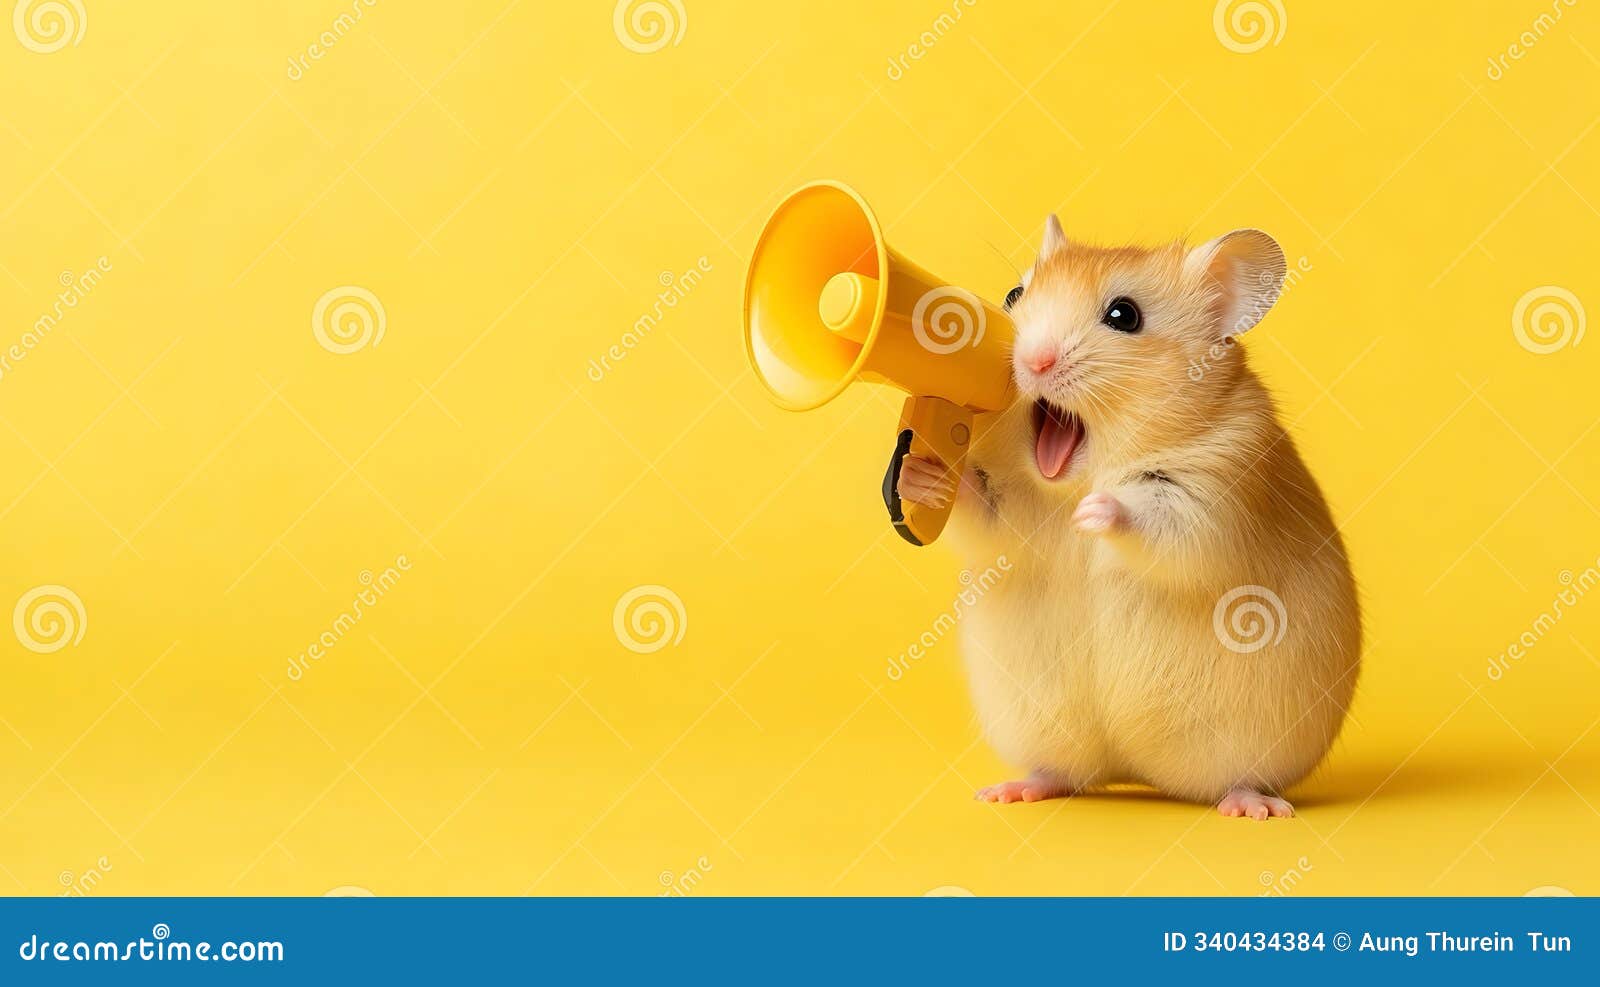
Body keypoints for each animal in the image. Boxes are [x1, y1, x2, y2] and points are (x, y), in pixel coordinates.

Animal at [896, 215, 1360, 820]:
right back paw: (1008, 792)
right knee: (1061, 773)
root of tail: (1136, 773)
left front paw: (1097, 511)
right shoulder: (1008, 519)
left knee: (1240, 781)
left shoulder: (1218, 493)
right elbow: (980, 509)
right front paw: (919, 476)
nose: (1033, 362)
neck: (1073, 479)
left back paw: (1252, 808)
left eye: (1124, 316)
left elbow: (1163, 523)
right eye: (1015, 295)